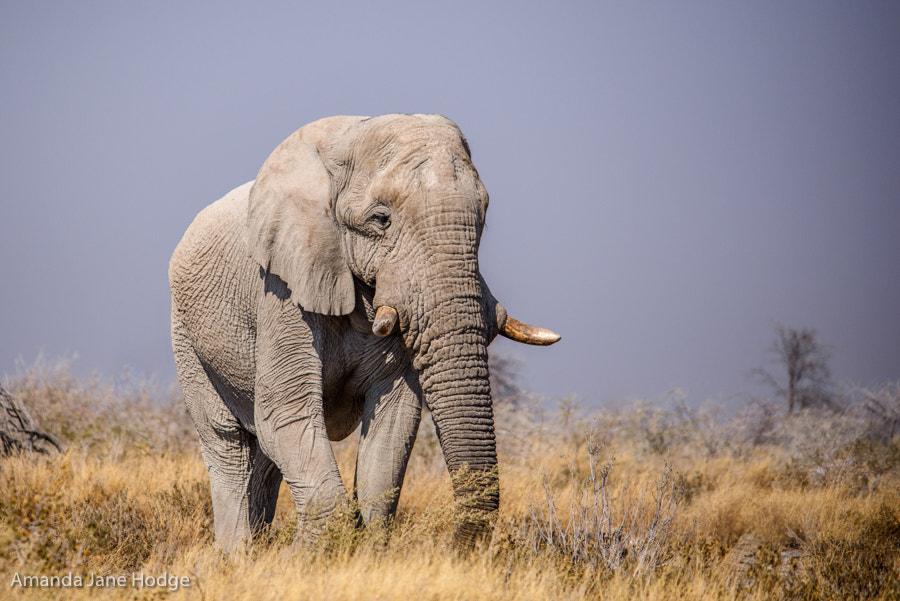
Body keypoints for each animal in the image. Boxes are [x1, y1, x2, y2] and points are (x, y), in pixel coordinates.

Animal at [168, 114, 559, 551]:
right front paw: (302, 557)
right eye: (381, 219)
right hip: (186, 334)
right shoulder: (282, 290)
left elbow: (394, 423)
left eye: (484, 217)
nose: (450, 546)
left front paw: (365, 550)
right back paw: (238, 556)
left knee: (265, 460)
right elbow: (284, 413)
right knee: (228, 442)